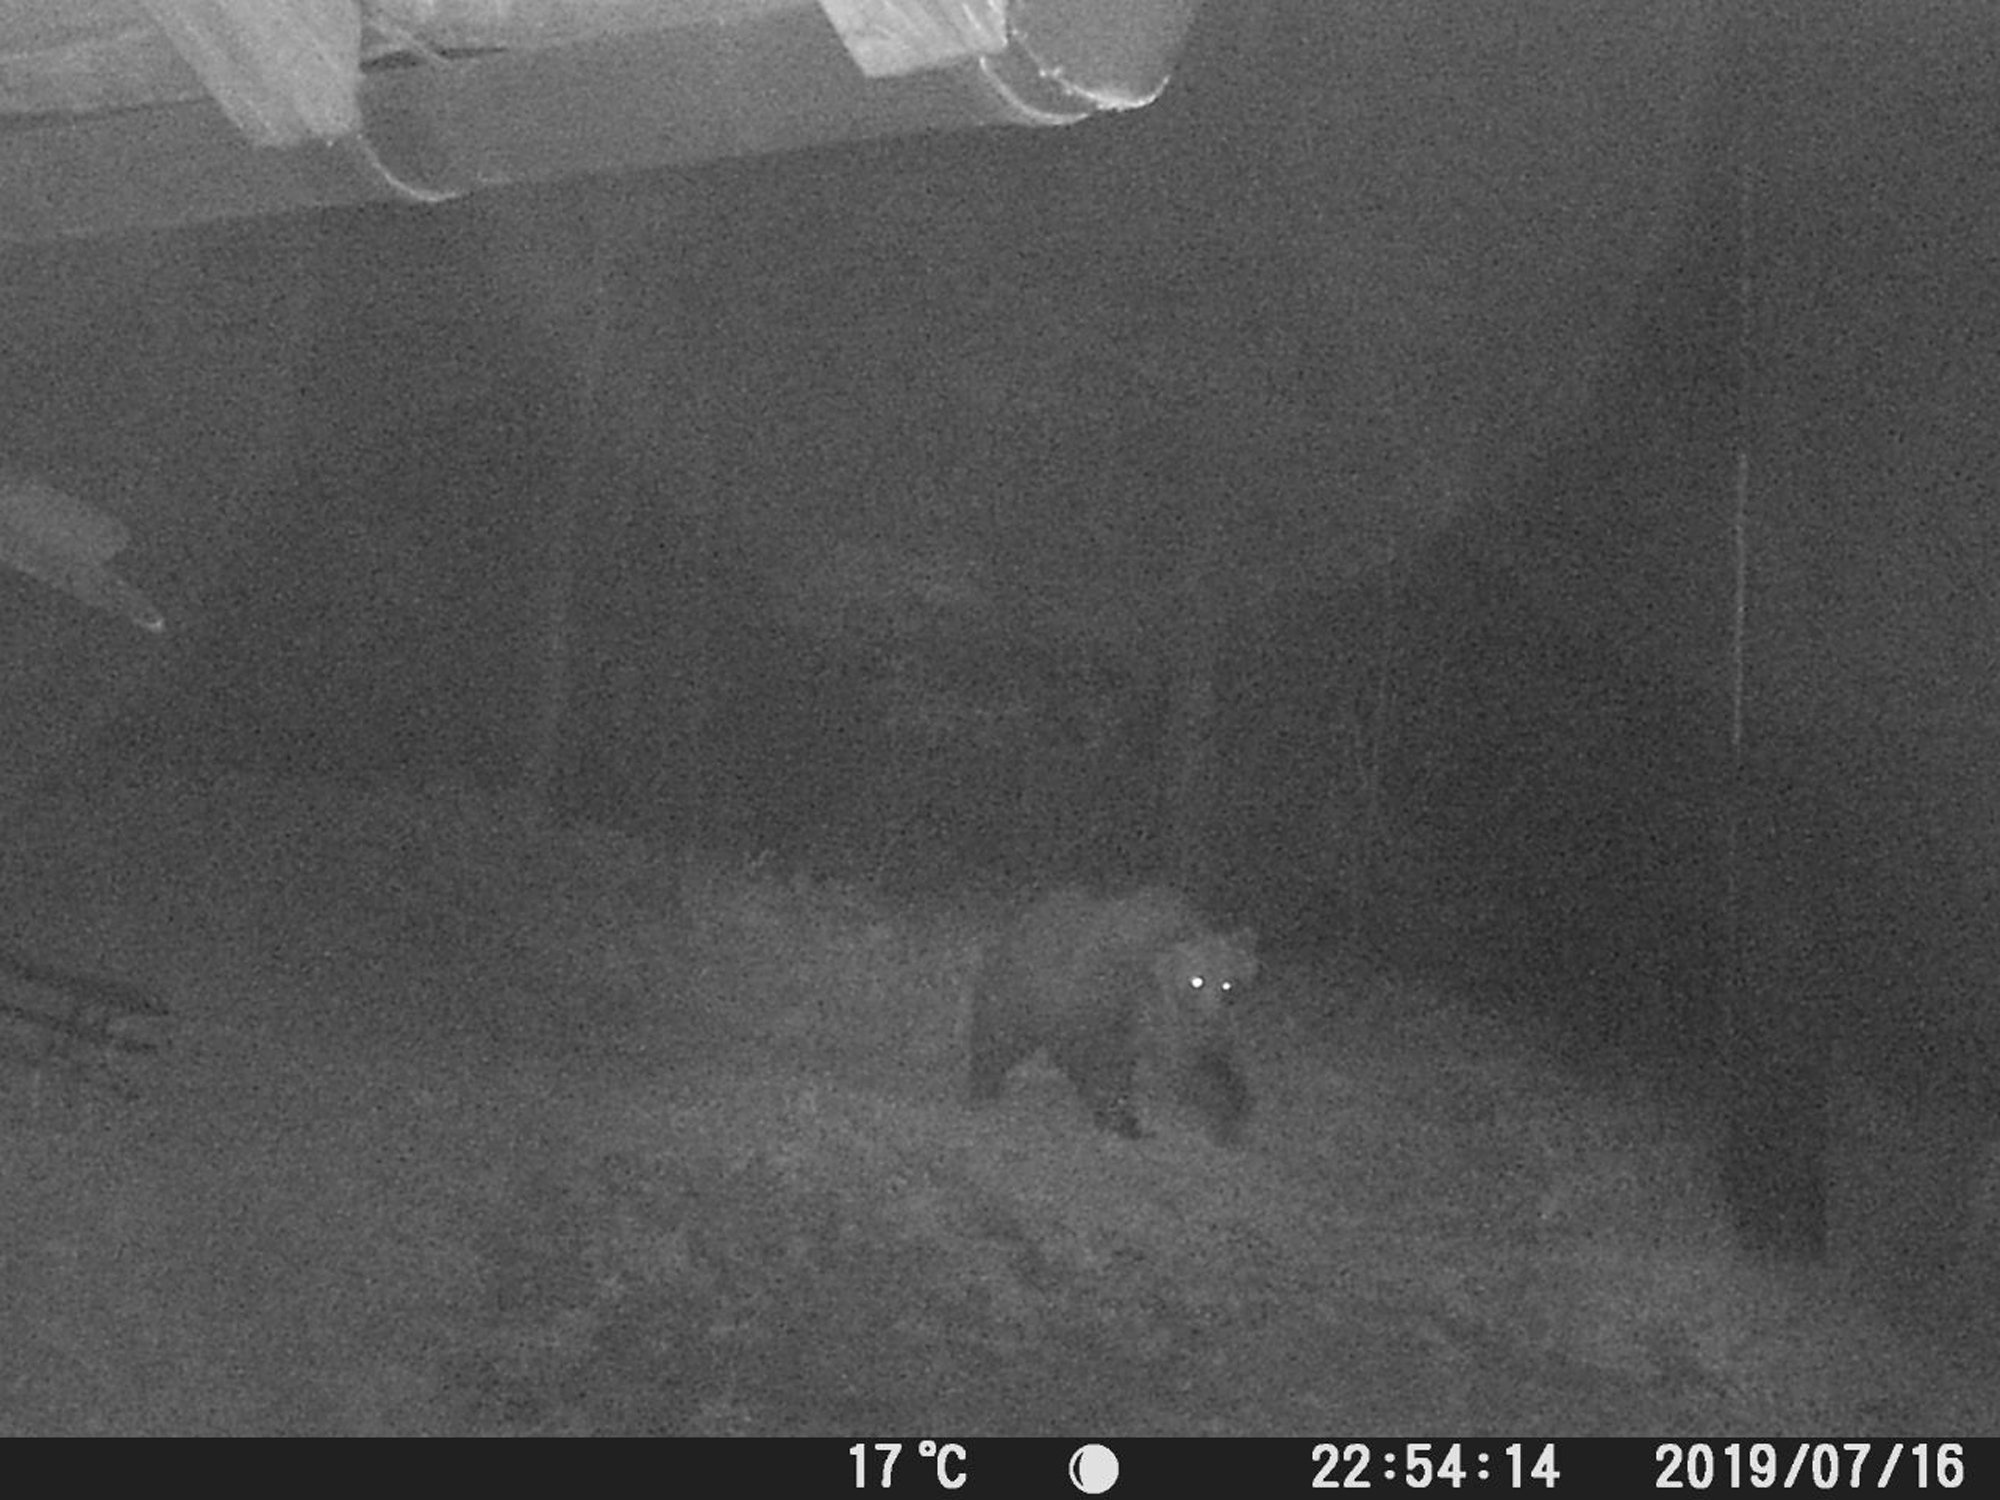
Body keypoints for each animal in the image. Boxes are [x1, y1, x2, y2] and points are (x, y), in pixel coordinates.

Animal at [968, 886, 1255, 1143]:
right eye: (1196, 980)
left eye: (1228, 984)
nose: (1211, 1017)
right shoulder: (1115, 1013)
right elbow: (1111, 1068)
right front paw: (1123, 1120)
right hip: (1021, 994)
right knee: (1000, 1037)